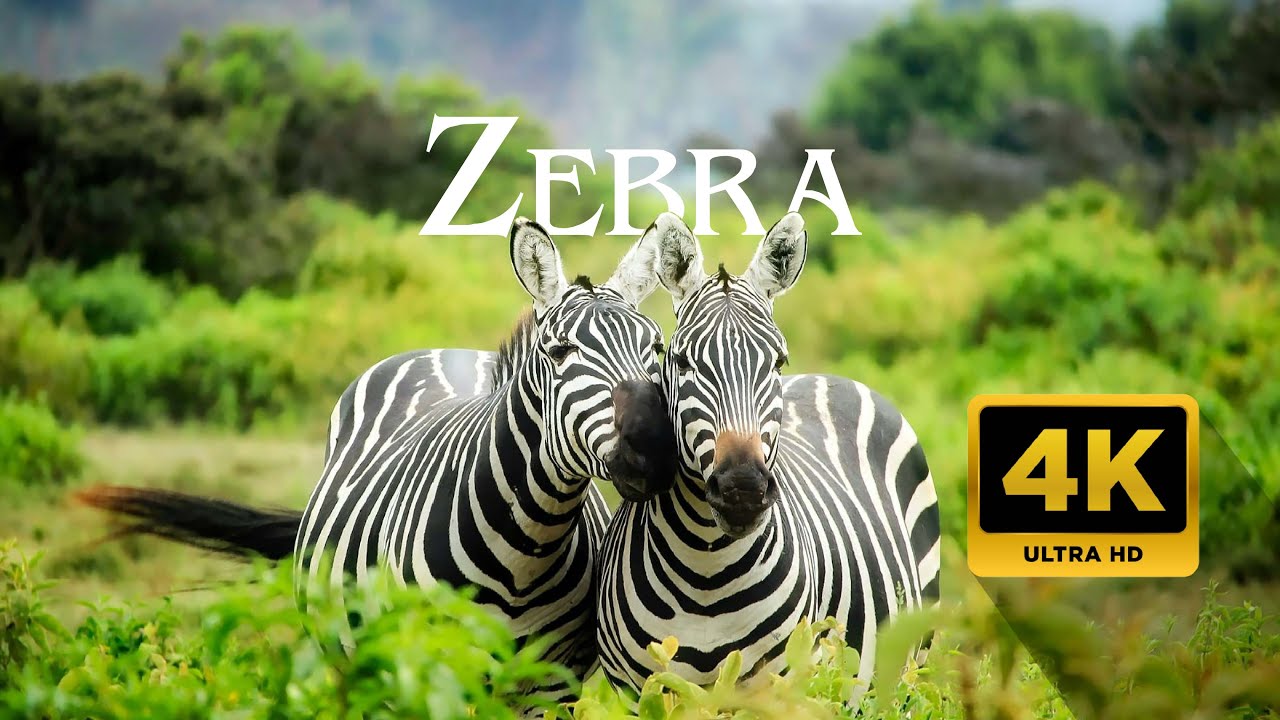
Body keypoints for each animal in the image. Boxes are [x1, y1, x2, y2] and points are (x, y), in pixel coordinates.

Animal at [76, 217, 679, 710]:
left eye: (656, 349)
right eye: (559, 352)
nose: (654, 448)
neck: (525, 551)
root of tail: (445, 351)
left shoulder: (550, 688)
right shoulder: (426, 671)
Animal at [595, 212, 942, 707]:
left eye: (777, 362)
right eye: (681, 361)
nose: (742, 490)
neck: (706, 572)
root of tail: (831, 376)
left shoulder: (781, 689)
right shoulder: (641, 692)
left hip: (910, 664)